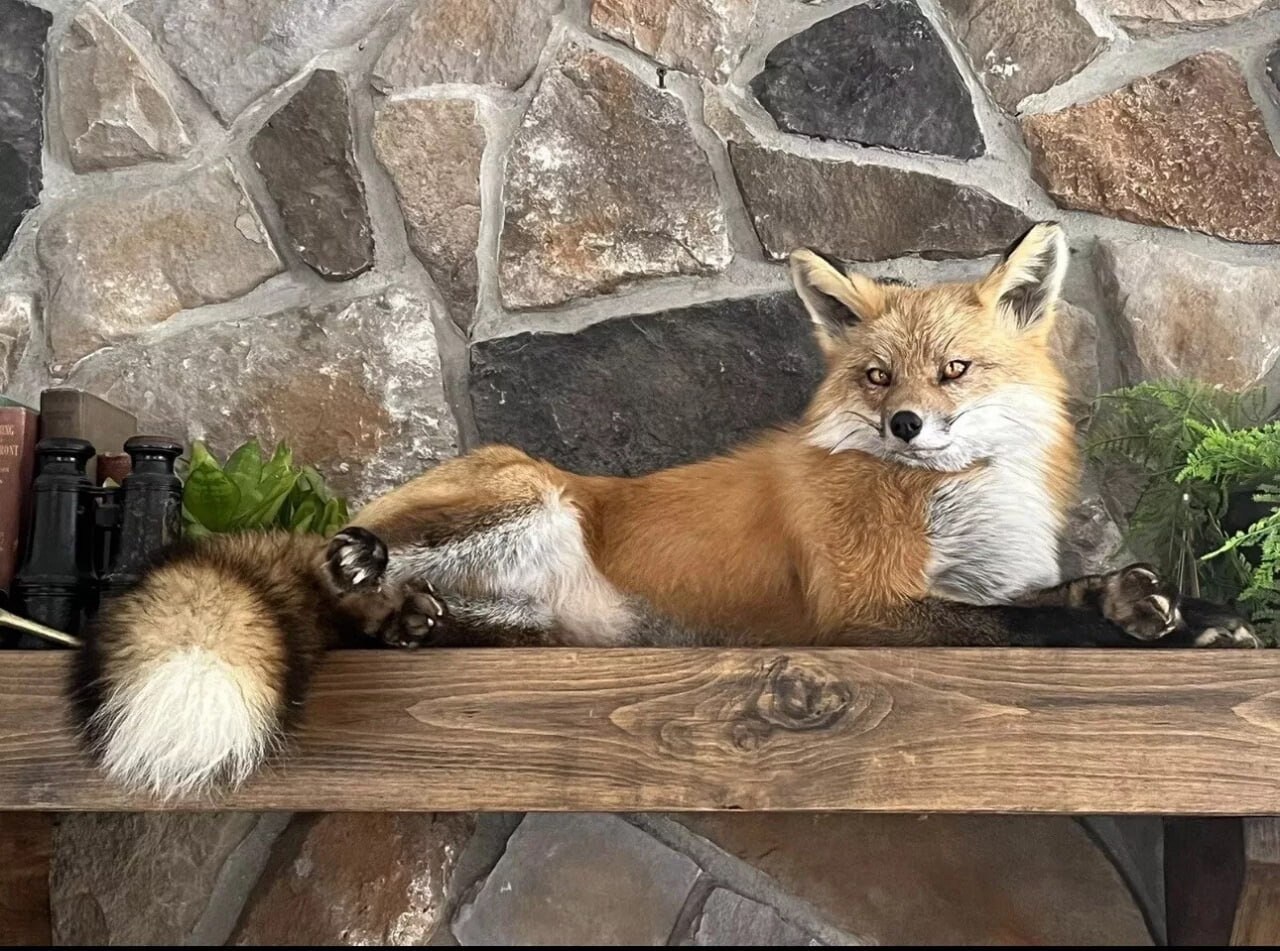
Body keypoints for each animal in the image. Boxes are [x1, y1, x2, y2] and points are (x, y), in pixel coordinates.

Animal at [71, 222, 1260, 798]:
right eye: (879, 378)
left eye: (954, 371)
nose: (907, 424)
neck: (954, 499)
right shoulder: (865, 613)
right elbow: (1027, 623)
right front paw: (1144, 620)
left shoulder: (990, 575)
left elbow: (1063, 595)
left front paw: (1182, 614)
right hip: (521, 499)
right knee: (344, 562)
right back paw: (366, 563)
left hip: (564, 625)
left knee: (417, 628)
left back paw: (421, 626)